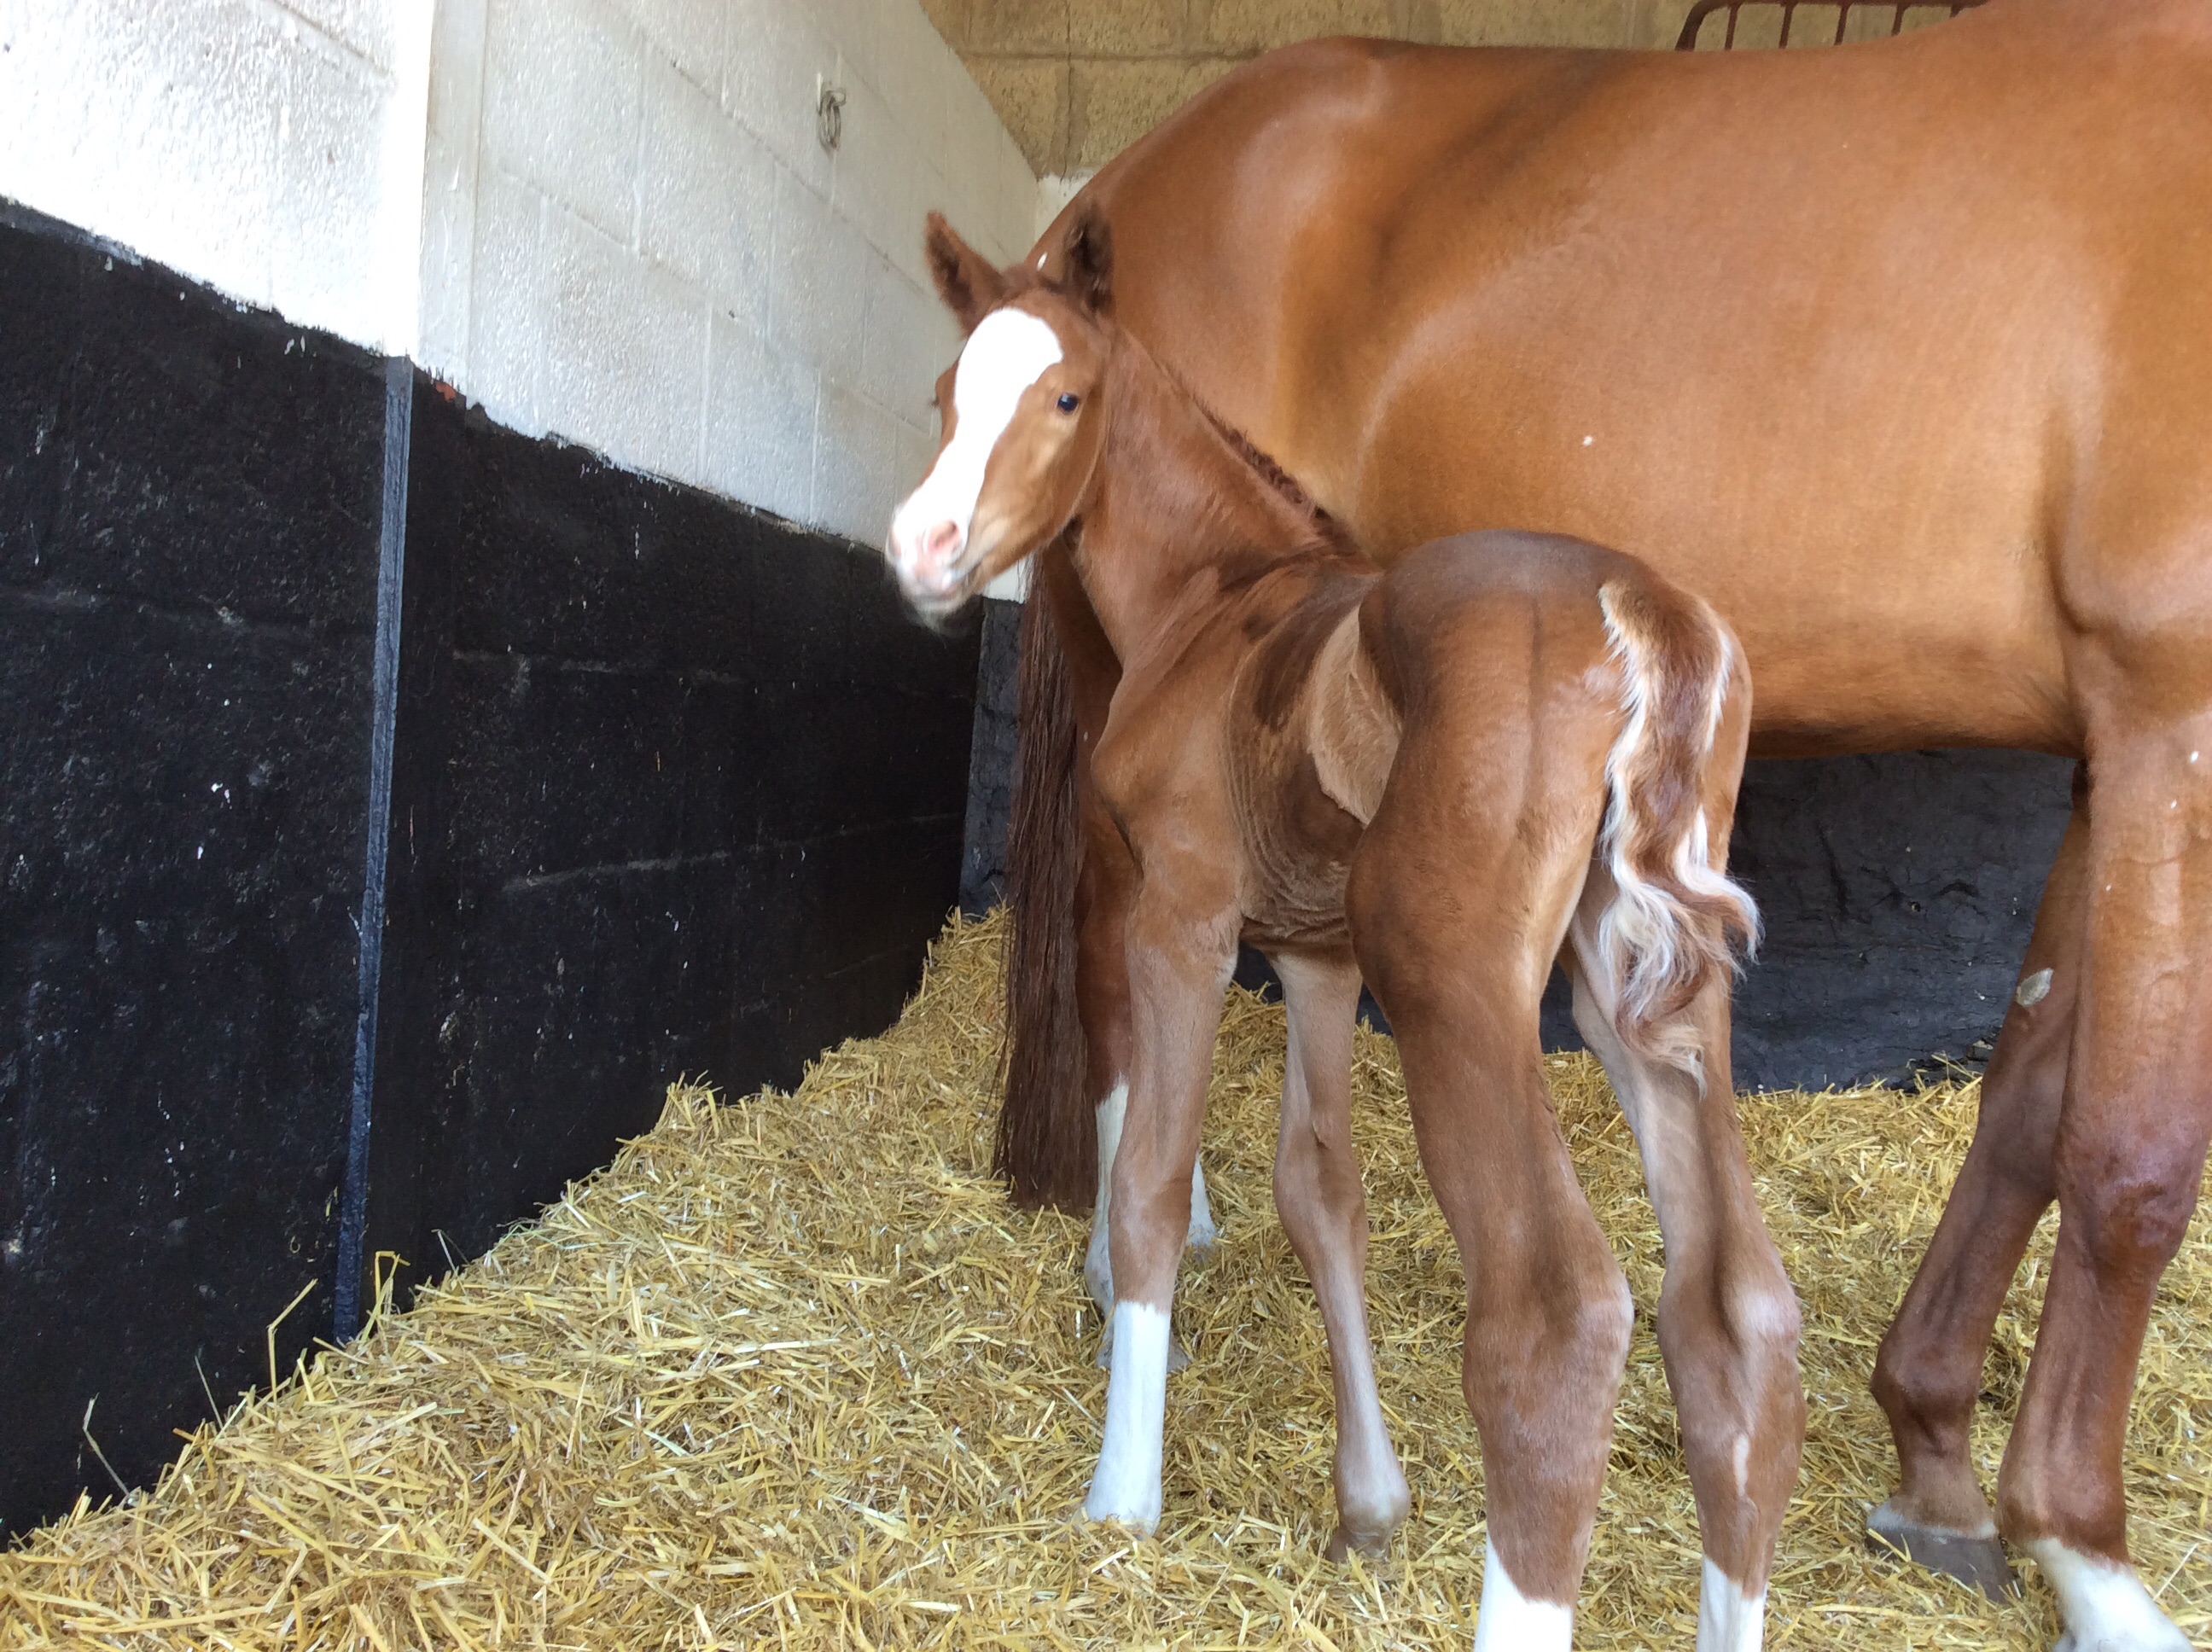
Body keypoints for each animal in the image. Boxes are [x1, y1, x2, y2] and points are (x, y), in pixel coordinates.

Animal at [884, 208, 1793, 1652]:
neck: (1210, 600)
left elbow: (1152, 1184)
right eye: (944, 395)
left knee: (1558, 1320)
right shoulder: (1316, 960)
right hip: (1645, 993)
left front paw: (1122, 1499)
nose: (924, 544)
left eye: (1064, 397)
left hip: (1452, 981)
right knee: (1737, 1314)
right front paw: (1369, 1501)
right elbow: (1321, 1193)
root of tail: (1640, 605)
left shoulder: (1186, 921)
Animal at [991, 7, 2212, 1646]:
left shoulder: (2109, 746)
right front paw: (2086, 1553)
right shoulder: (2168, 710)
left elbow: (2027, 1105)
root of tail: (1127, 170)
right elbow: (2132, 1159)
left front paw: (1941, 1460)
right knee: (1106, 945)